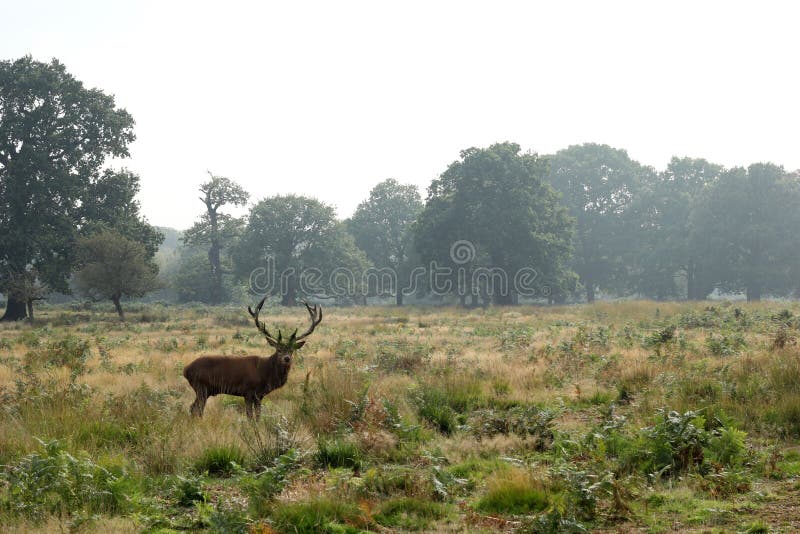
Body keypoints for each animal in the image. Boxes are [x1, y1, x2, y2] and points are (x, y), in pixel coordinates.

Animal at [183, 298, 322, 419]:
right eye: (278, 350)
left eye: (292, 350)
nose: (286, 358)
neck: (265, 374)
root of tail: (185, 370)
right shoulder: (248, 391)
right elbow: (250, 416)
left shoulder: (259, 396)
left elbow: (258, 416)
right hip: (201, 387)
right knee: (195, 408)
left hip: (203, 390)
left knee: (195, 408)